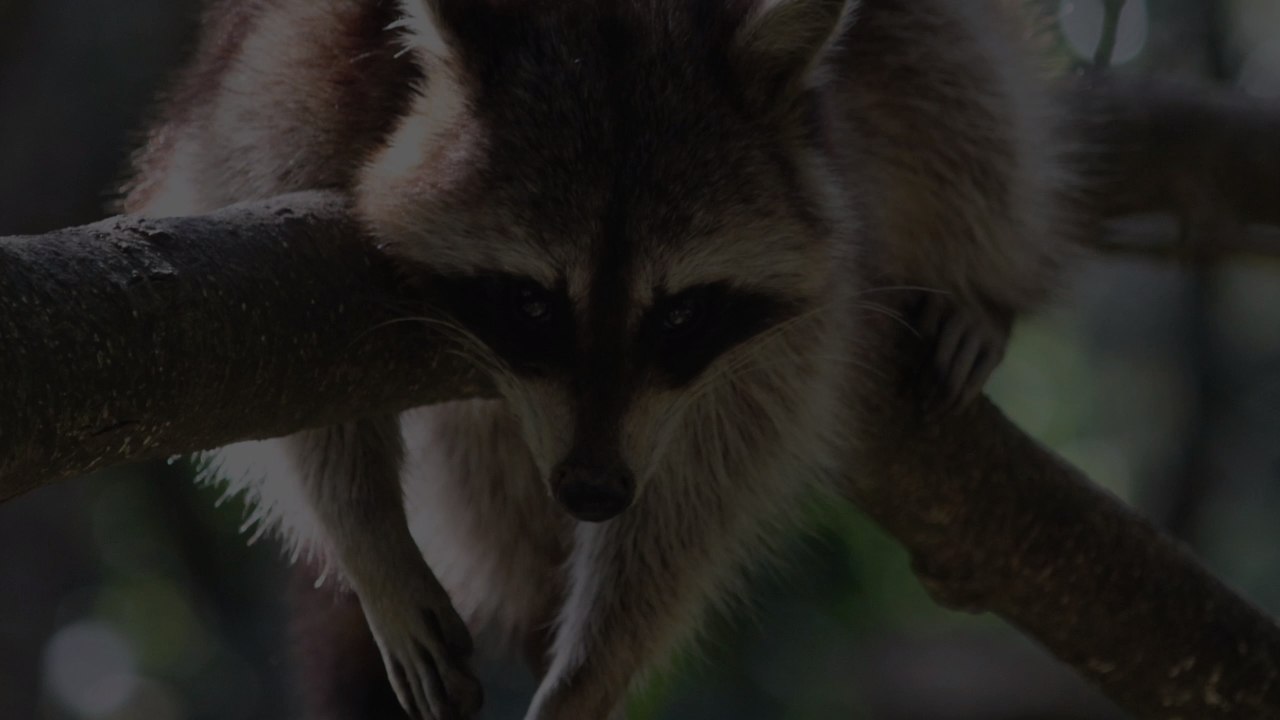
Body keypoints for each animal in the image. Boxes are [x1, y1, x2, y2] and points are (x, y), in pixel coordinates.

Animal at [123, 0, 1073, 717]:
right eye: (534, 305)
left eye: (682, 314)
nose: (594, 491)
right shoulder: (291, 76)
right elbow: (269, 316)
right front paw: (367, 534)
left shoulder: (813, 254)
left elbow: (725, 459)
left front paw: (599, 658)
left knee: (957, 87)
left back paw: (982, 280)